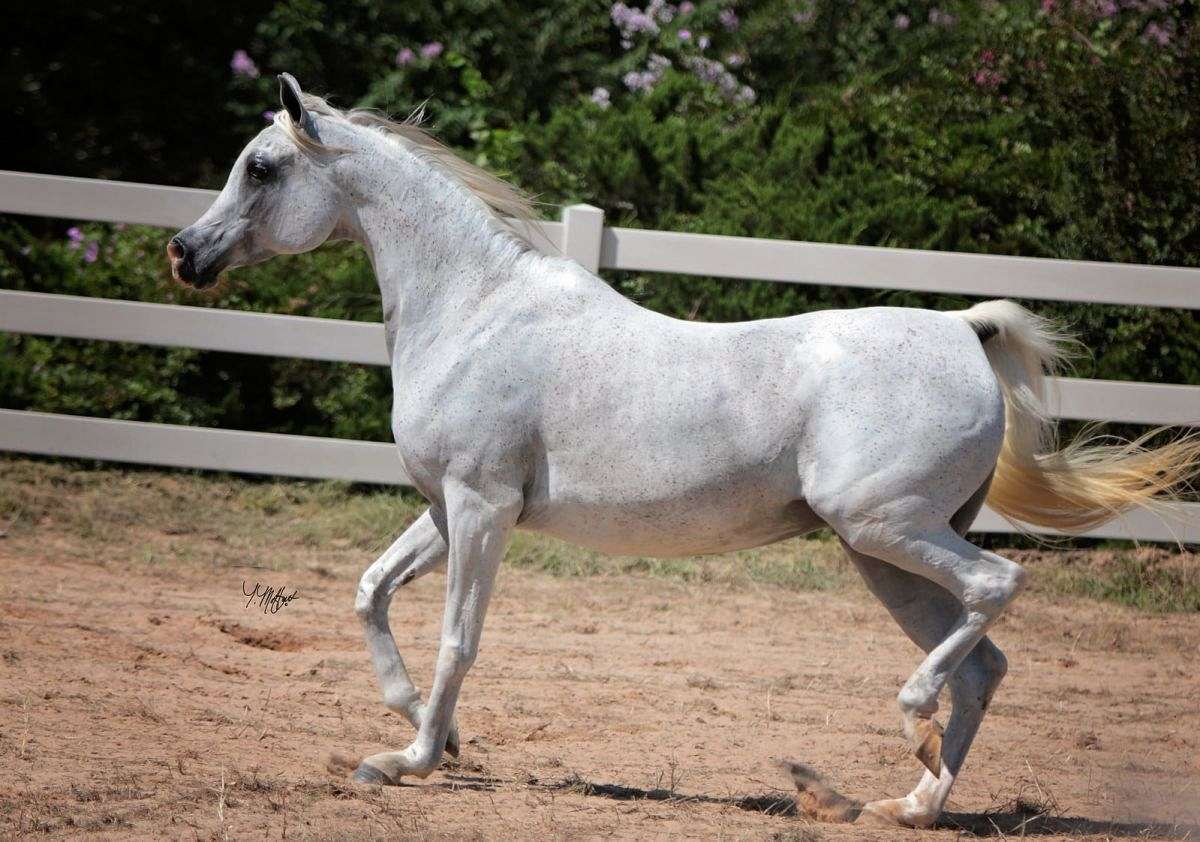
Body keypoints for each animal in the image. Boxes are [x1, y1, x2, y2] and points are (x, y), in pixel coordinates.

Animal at [166, 74, 1200, 828]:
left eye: (262, 167)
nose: (184, 252)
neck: (476, 311)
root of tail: (961, 331)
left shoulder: (482, 506)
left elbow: (460, 636)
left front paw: (409, 758)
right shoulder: (444, 508)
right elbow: (371, 593)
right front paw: (425, 735)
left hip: (886, 527)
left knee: (997, 588)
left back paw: (907, 722)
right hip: (883, 554)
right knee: (985, 666)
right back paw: (903, 802)